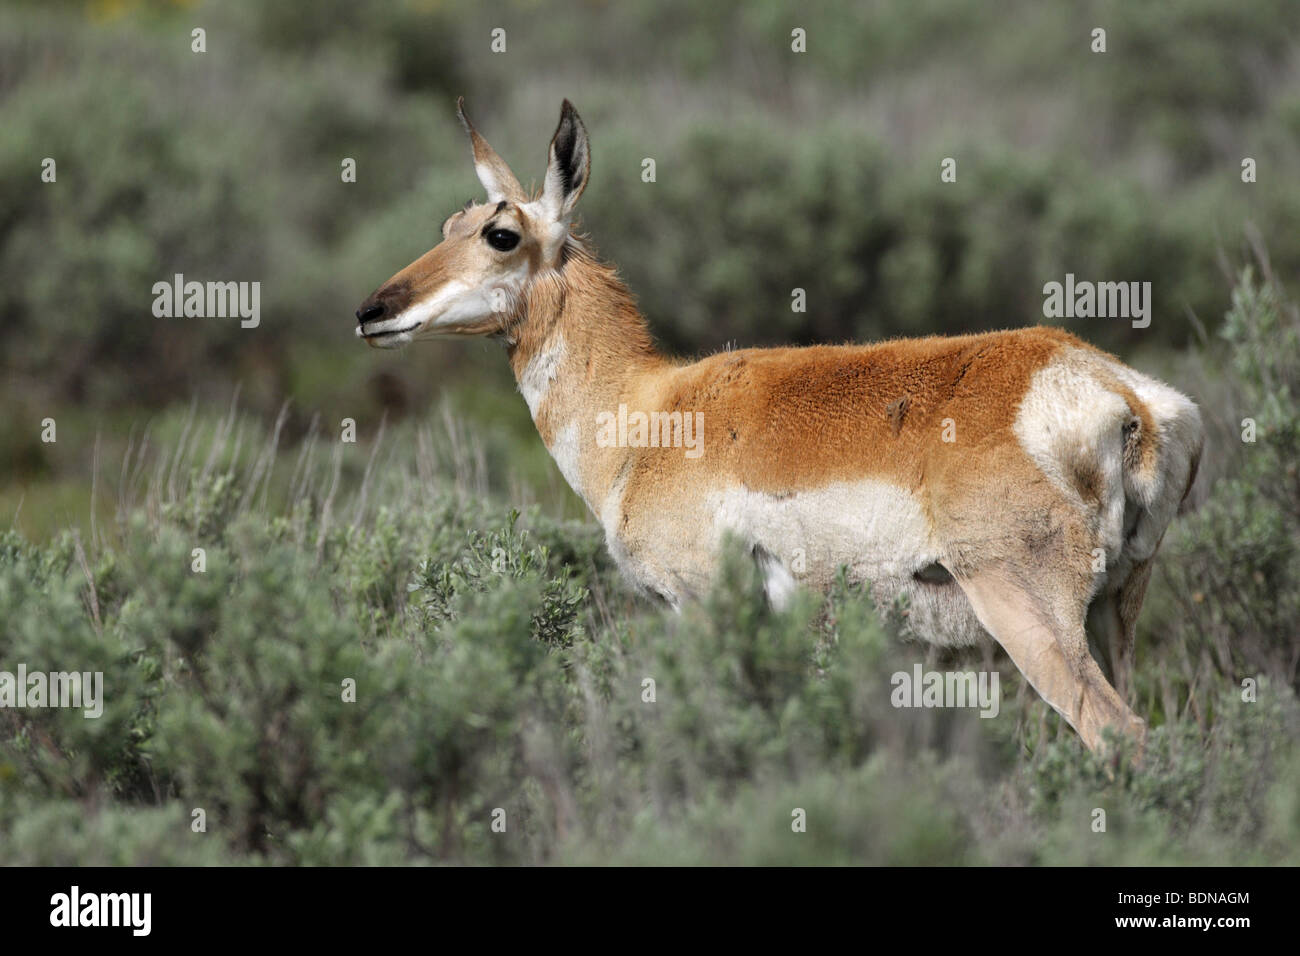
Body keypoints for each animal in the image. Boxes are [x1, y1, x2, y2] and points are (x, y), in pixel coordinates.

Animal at [355, 99, 1204, 754]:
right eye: (451, 221)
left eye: (501, 234)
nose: (374, 311)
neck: (651, 411)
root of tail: (1122, 395)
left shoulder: (700, 608)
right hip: (1113, 615)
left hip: (1026, 609)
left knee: (1117, 734)